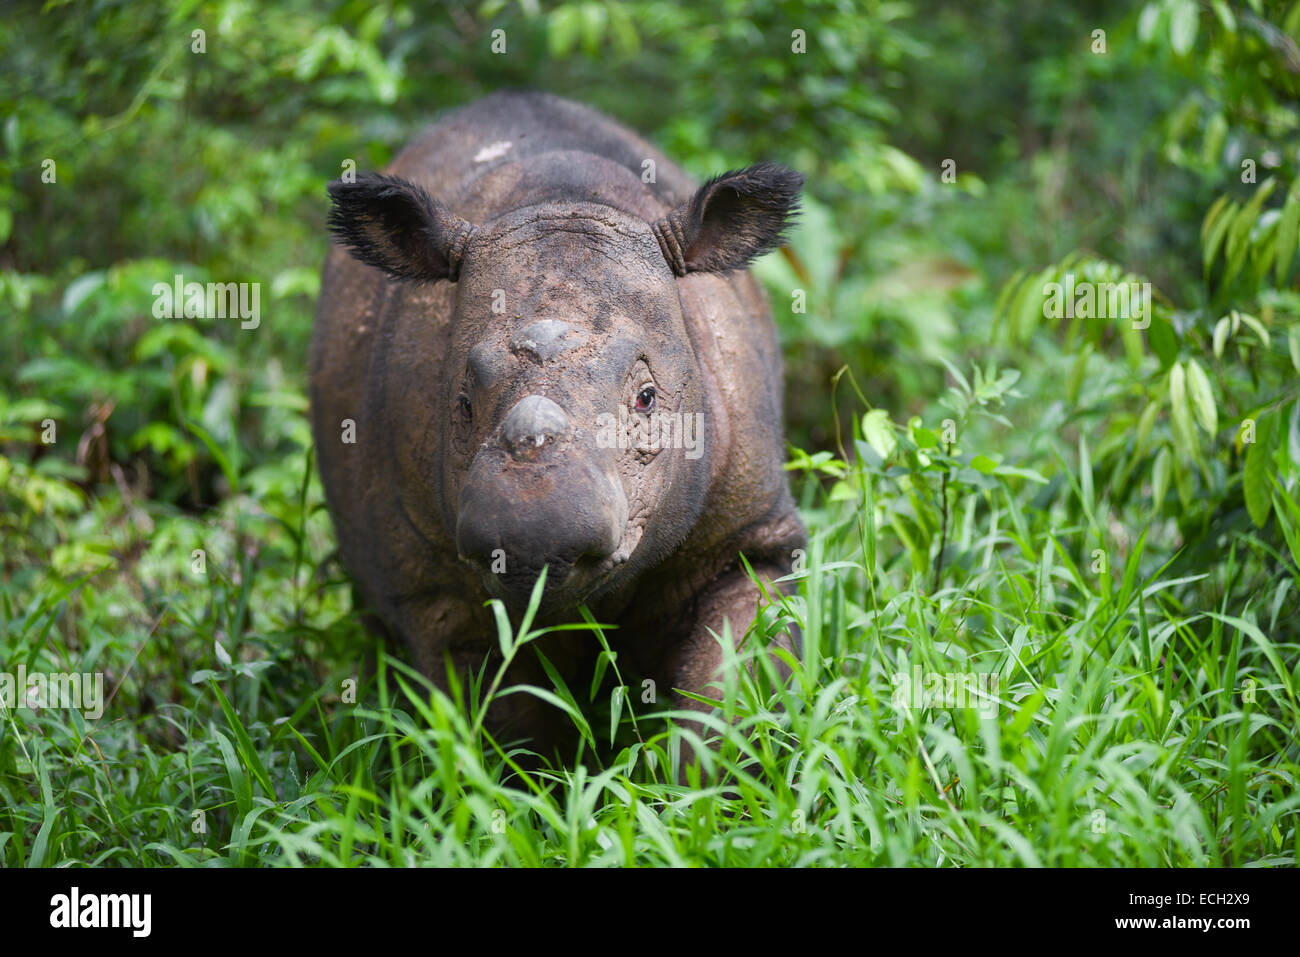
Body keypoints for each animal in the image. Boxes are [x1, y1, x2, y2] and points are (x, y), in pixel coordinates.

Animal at [311, 91, 805, 764]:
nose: (533, 543)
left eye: (647, 399)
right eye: (460, 405)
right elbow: (511, 732)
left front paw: (713, 787)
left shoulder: (750, 537)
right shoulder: (437, 587)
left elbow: (726, 699)